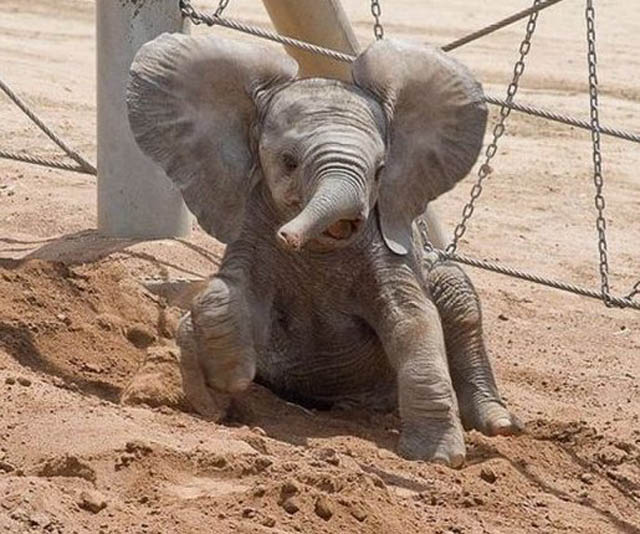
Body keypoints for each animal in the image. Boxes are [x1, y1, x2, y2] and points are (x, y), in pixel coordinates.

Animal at [126, 33, 522, 467]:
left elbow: (412, 320)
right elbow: (232, 295)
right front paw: (231, 372)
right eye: (289, 162)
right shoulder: (252, 226)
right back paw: (209, 408)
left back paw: (500, 424)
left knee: (457, 295)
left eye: (381, 170)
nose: (287, 236)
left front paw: (435, 460)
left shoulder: (388, 245)